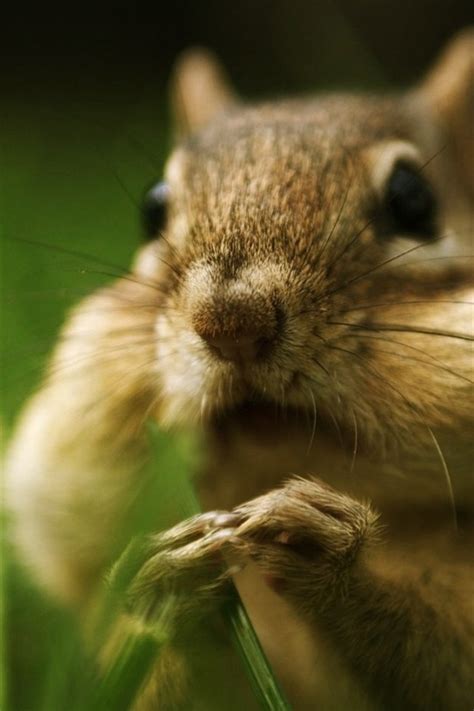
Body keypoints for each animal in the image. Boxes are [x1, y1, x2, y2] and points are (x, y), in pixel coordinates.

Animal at [5, 29, 474, 710]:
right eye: (152, 207)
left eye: (414, 198)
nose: (231, 321)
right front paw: (167, 591)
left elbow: (432, 657)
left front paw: (333, 555)